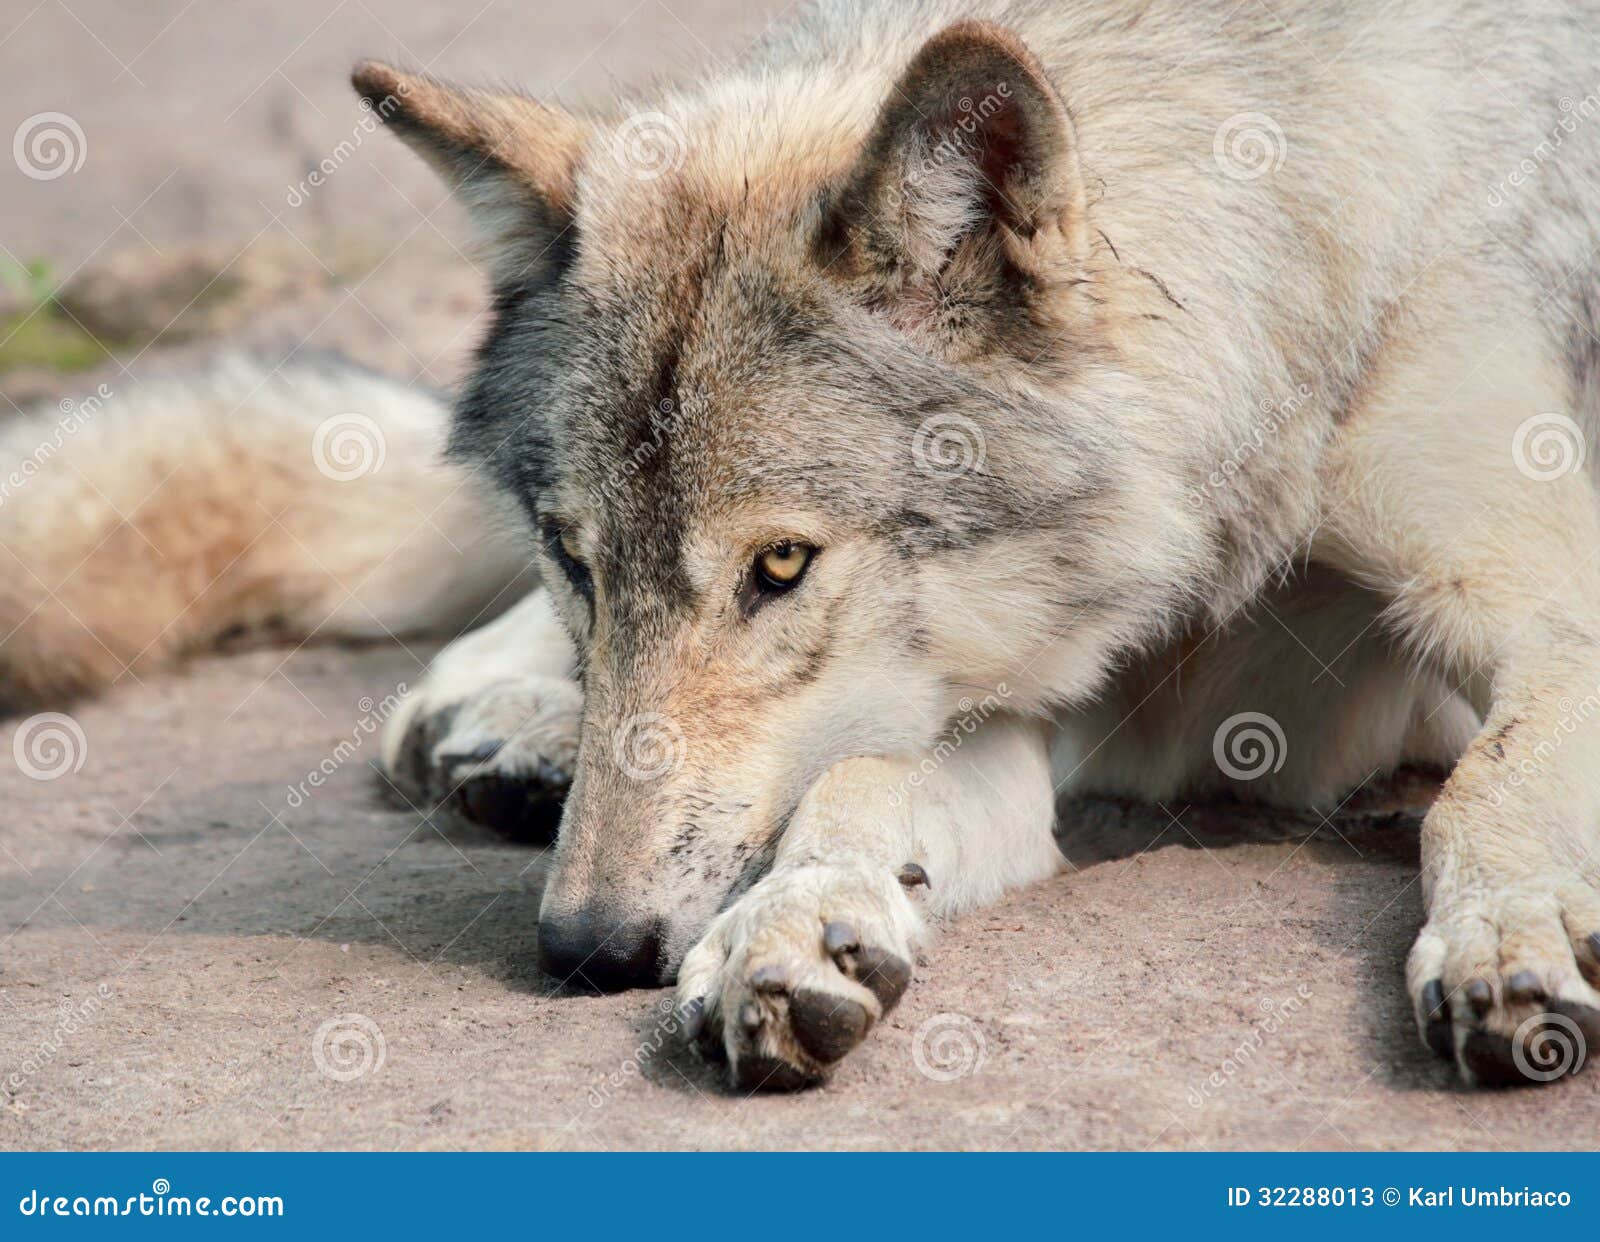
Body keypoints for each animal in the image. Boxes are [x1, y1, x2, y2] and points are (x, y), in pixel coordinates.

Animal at [15, 0, 1600, 1092]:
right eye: (580, 561)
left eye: (780, 567)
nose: (583, 951)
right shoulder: (1039, 704)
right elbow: (857, 778)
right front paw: (799, 927)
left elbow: (1488, 785)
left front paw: (1506, 939)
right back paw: (501, 717)